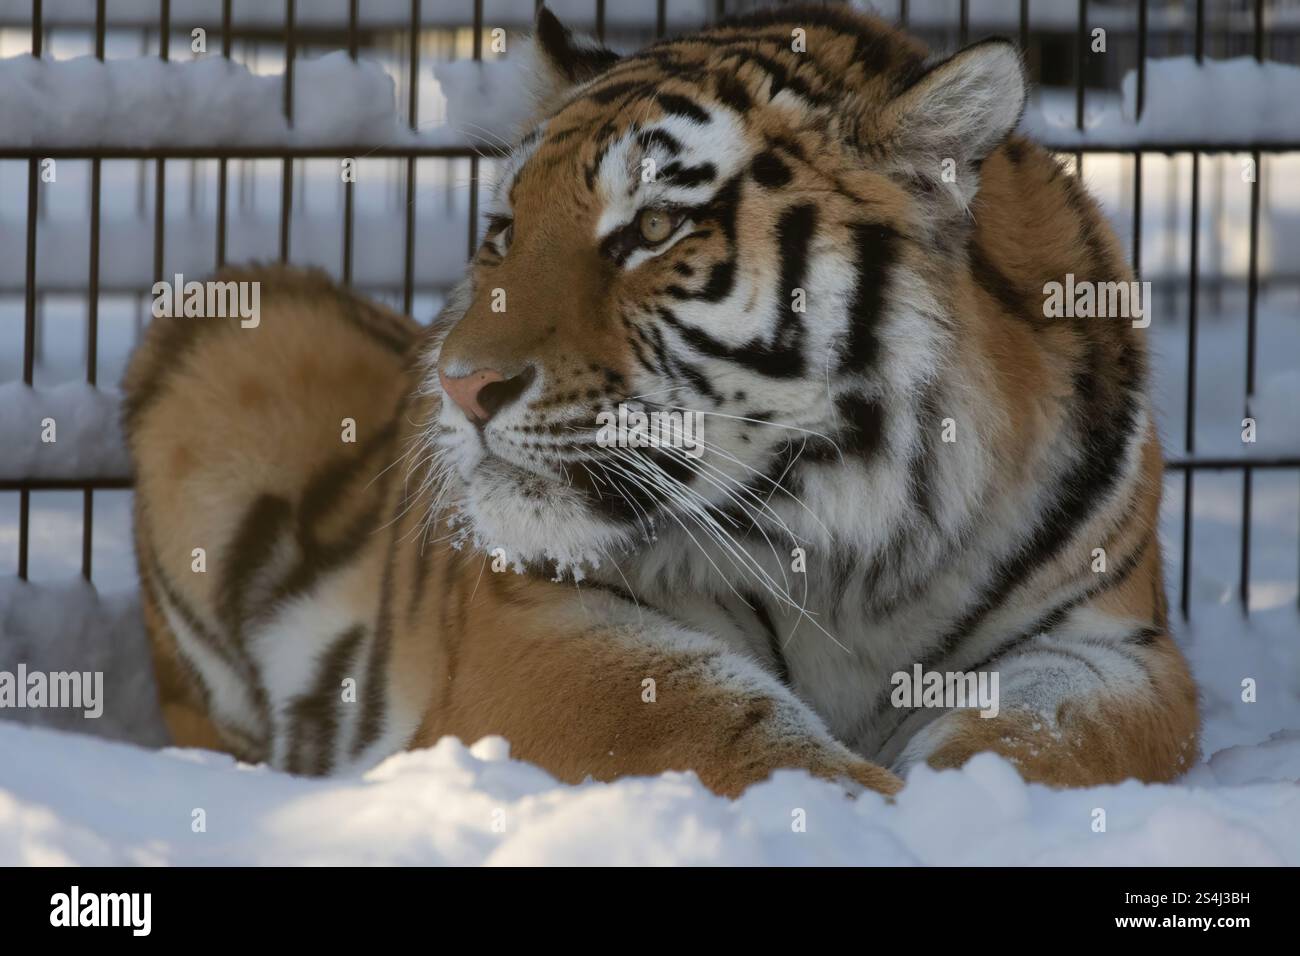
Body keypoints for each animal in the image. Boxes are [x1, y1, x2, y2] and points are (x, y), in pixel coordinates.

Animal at [125, 5, 1199, 798]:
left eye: (652, 229)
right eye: (503, 232)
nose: (461, 385)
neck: (854, 540)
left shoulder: (1113, 645)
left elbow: (1036, 738)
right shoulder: (540, 619)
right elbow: (716, 725)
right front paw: (869, 809)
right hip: (232, 322)